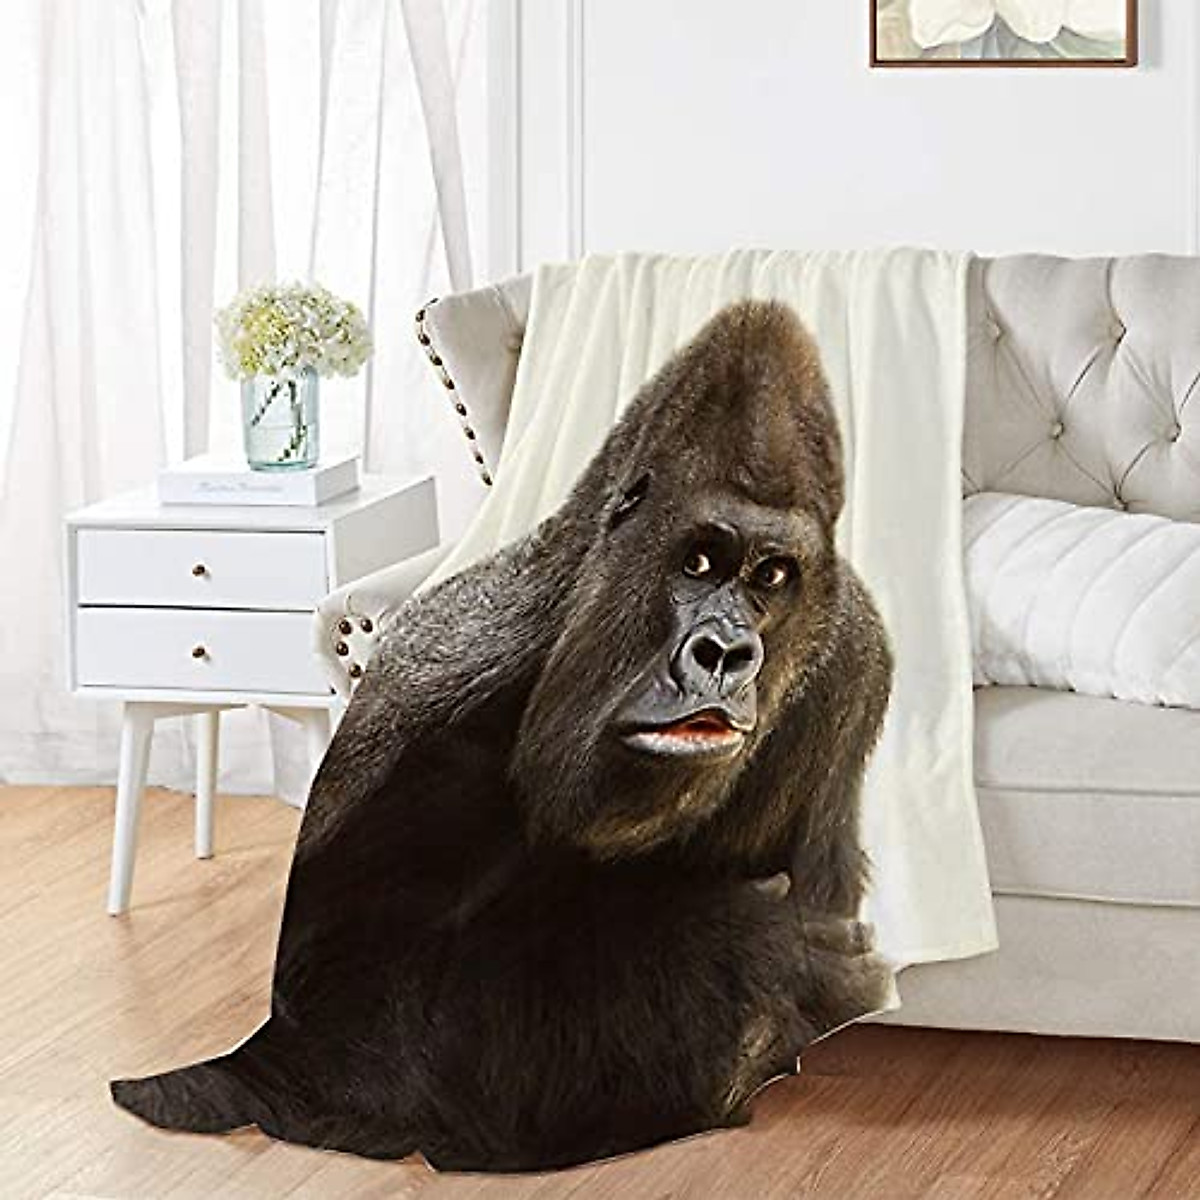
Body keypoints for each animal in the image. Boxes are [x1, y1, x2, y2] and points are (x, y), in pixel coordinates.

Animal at [110, 298, 894, 1173]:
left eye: (771, 577)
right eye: (697, 562)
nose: (725, 654)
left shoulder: (854, 655)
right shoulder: (438, 674)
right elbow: (349, 1020)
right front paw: (742, 943)